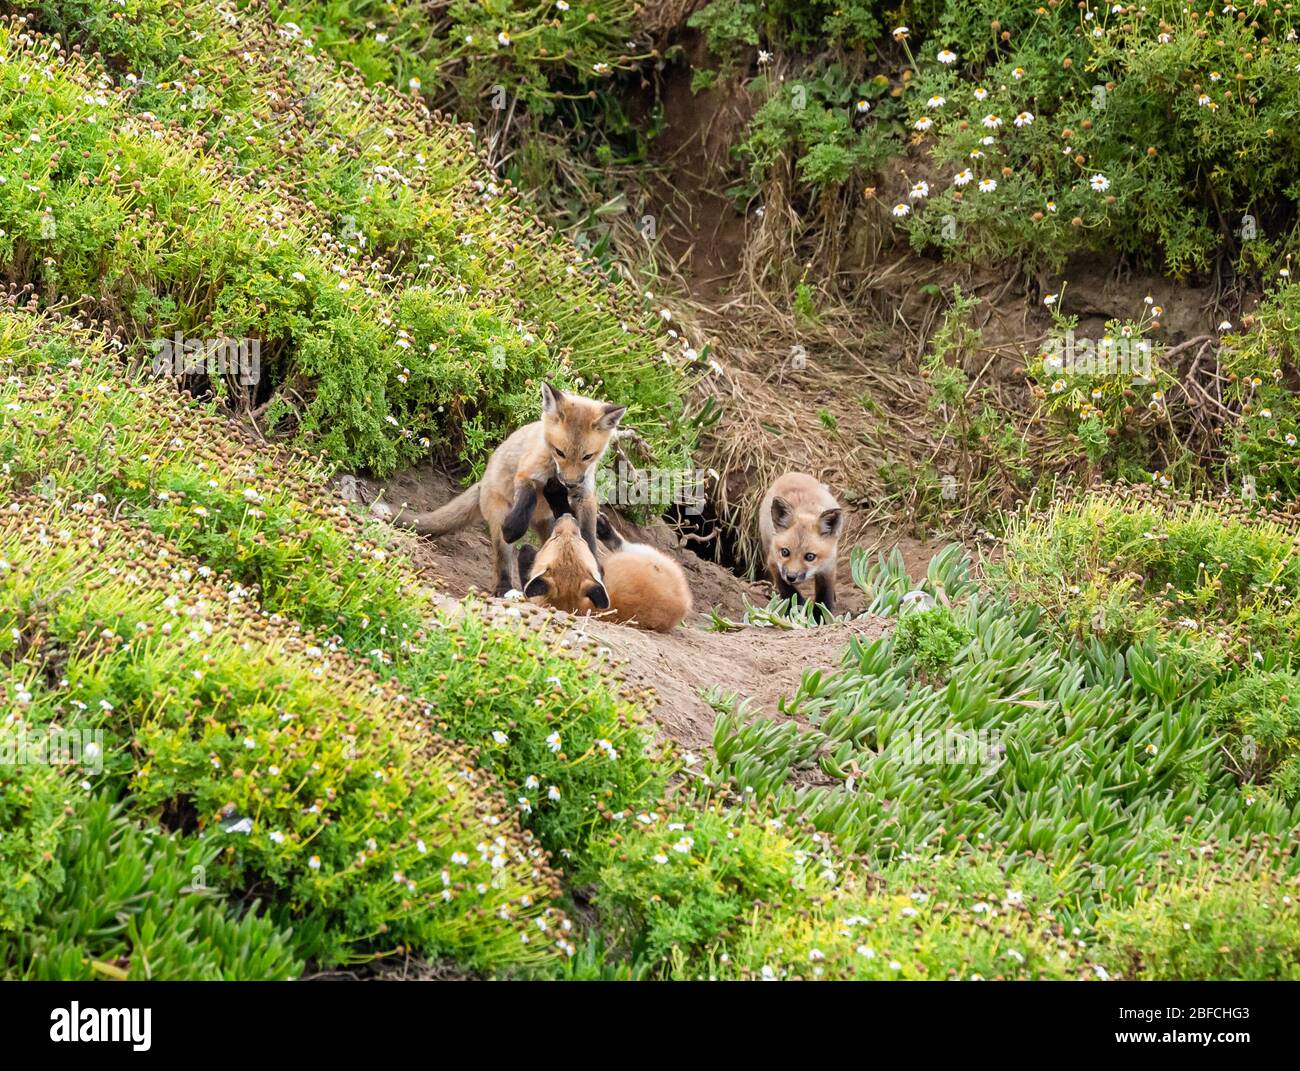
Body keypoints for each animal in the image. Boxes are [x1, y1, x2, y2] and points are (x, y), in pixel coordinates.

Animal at [372, 381, 625, 596]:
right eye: (560, 452)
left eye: (587, 456)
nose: (570, 483)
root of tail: (482, 482)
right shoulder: (527, 473)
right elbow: (526, 499)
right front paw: (513, 527)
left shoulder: (585, 495)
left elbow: (589, 536)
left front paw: (594, 565)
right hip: (500, 516)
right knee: (503, 560)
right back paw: (505, 588)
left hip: (552, 524)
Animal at [758, 472, 844, 619]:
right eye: (785, 552)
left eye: (810, 556)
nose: (791, 576)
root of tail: (793, 473)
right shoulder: (773, 561)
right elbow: (788, 590)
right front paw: (799, 608)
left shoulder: (828, 567)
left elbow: (824, 597)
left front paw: (819, 617)